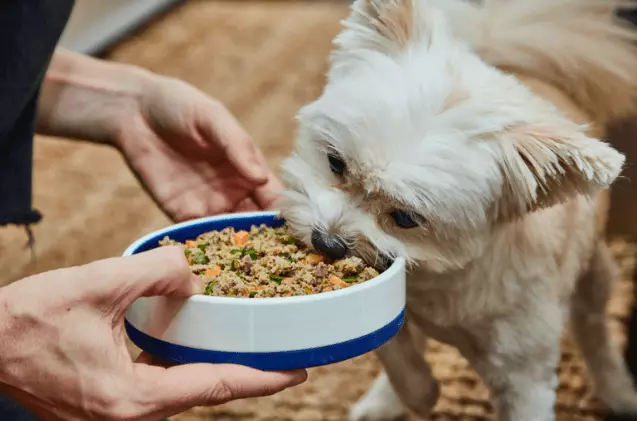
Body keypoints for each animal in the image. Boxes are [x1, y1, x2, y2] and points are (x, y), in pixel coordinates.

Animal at [276, 0, 636, 418]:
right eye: (336, 163)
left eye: (405, 218)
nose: (327, 243)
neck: (437, 279)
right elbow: (393, 348)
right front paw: (419, 393)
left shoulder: (523, 376)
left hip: (593, 277)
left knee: (594, 330)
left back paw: (618, 390)